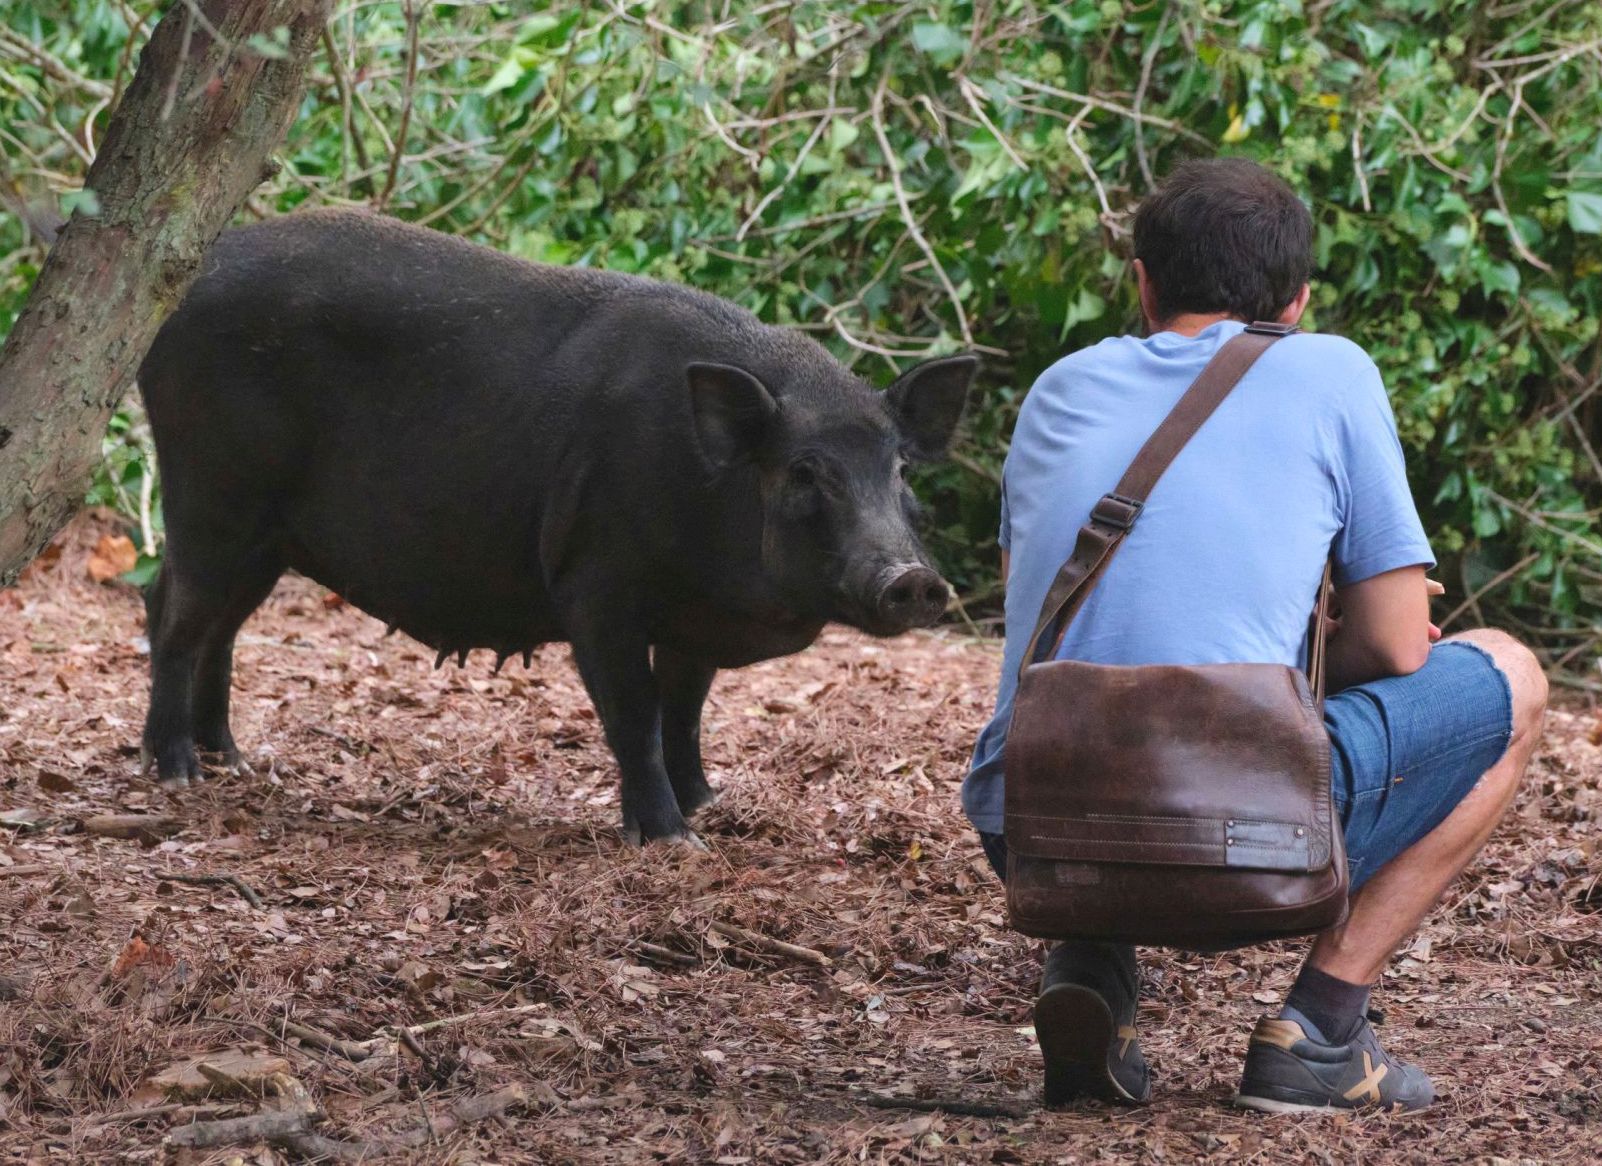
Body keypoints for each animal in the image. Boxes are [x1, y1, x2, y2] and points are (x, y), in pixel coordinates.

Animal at [136, 209, 976, 845]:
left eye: (900, 469)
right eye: (804, 472)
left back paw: (232, 759)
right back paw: (175, 772)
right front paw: (672, 839)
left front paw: (709, 803)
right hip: (212, 489)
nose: (913, 579)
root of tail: (175, 301)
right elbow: (635, 713)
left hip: (267, 536)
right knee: (174, 610)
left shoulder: (693, 615)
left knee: (218, 621)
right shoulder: (593, 581)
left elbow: (687, 709)